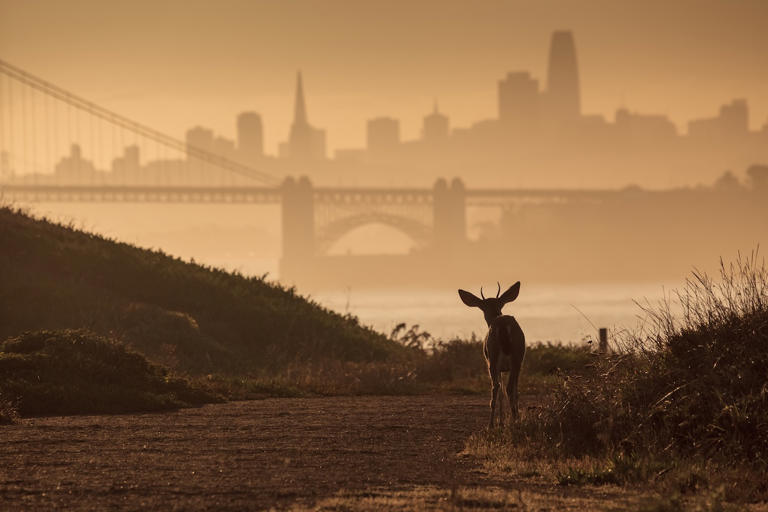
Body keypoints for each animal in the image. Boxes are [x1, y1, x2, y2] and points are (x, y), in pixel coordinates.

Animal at [458, 282, 525, 428]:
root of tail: (503, 326)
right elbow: (511, 391)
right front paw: (504, 420)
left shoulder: (492, 363)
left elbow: (500, 391)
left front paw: (500, 422)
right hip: (517, 359)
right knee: (510, 388)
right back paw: (515, 419)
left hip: (493, 359)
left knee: (497, 388)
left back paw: (491, 424)